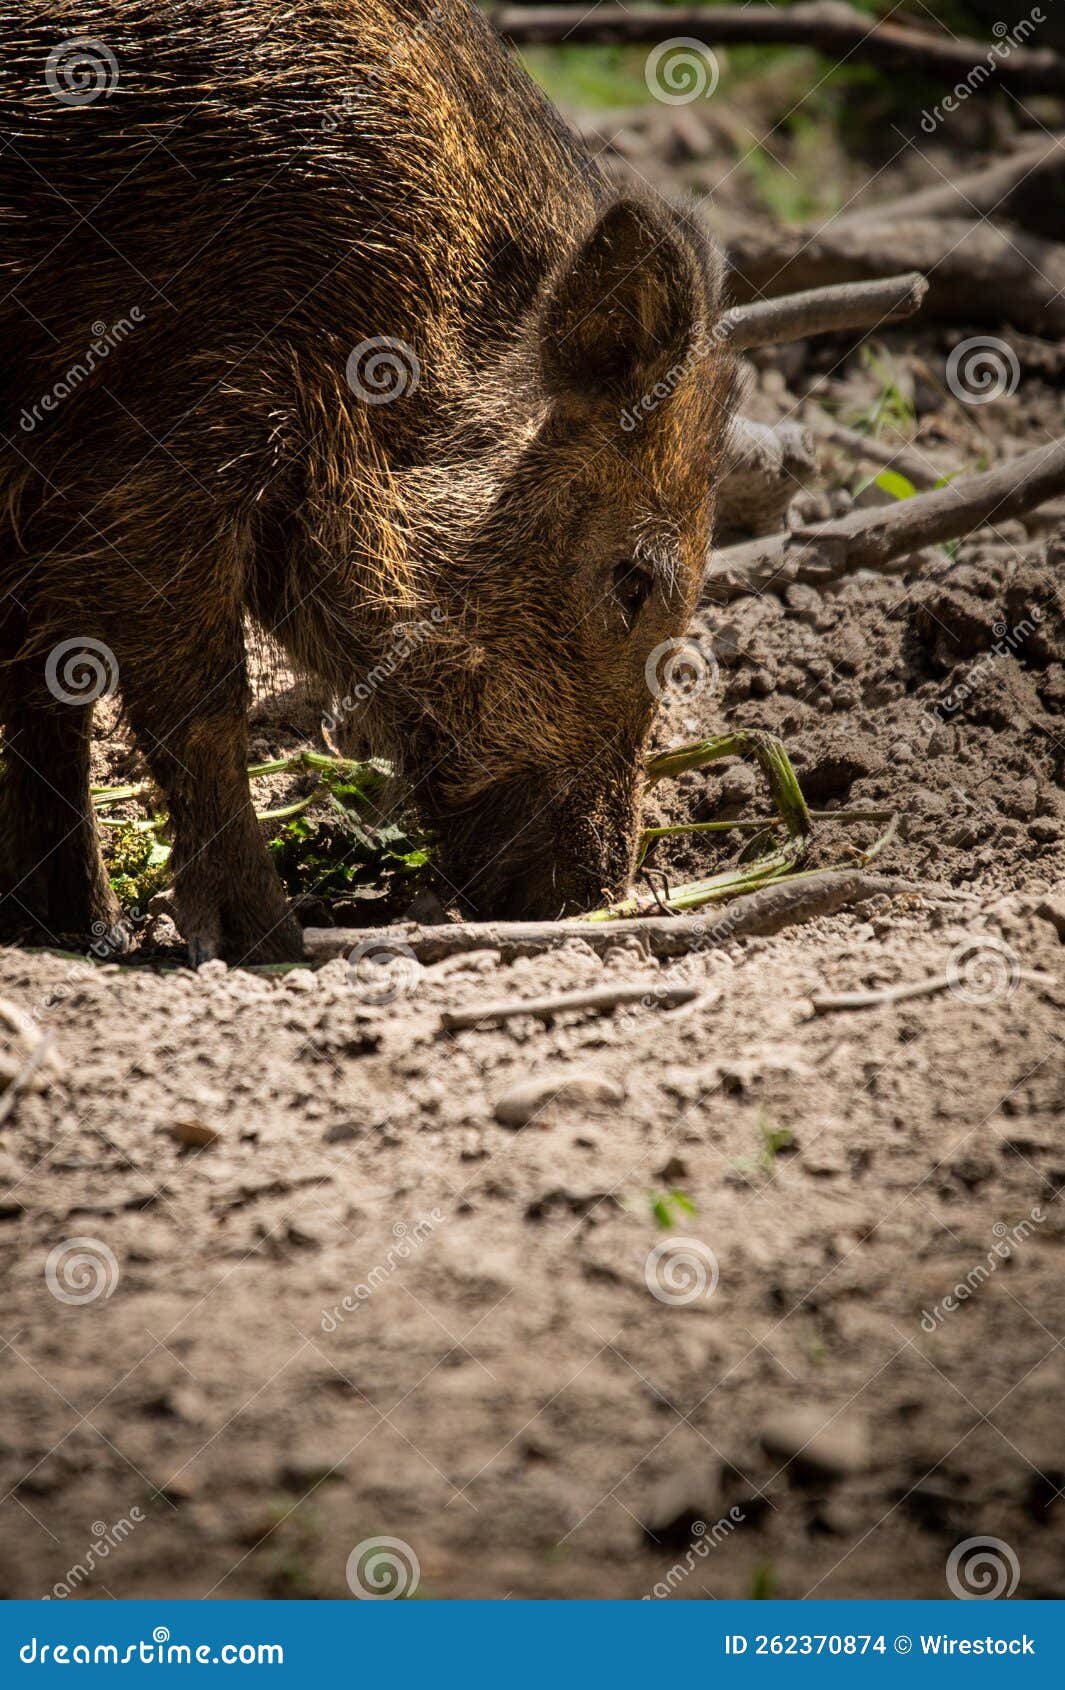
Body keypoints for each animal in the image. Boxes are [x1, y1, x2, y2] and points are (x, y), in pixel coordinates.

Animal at [0, 1, 736, 961]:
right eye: (634, 579)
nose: (592, 894)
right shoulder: (163, 443)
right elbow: (196, 698)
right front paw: (263, 945)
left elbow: (47, 687)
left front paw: (76, 927)